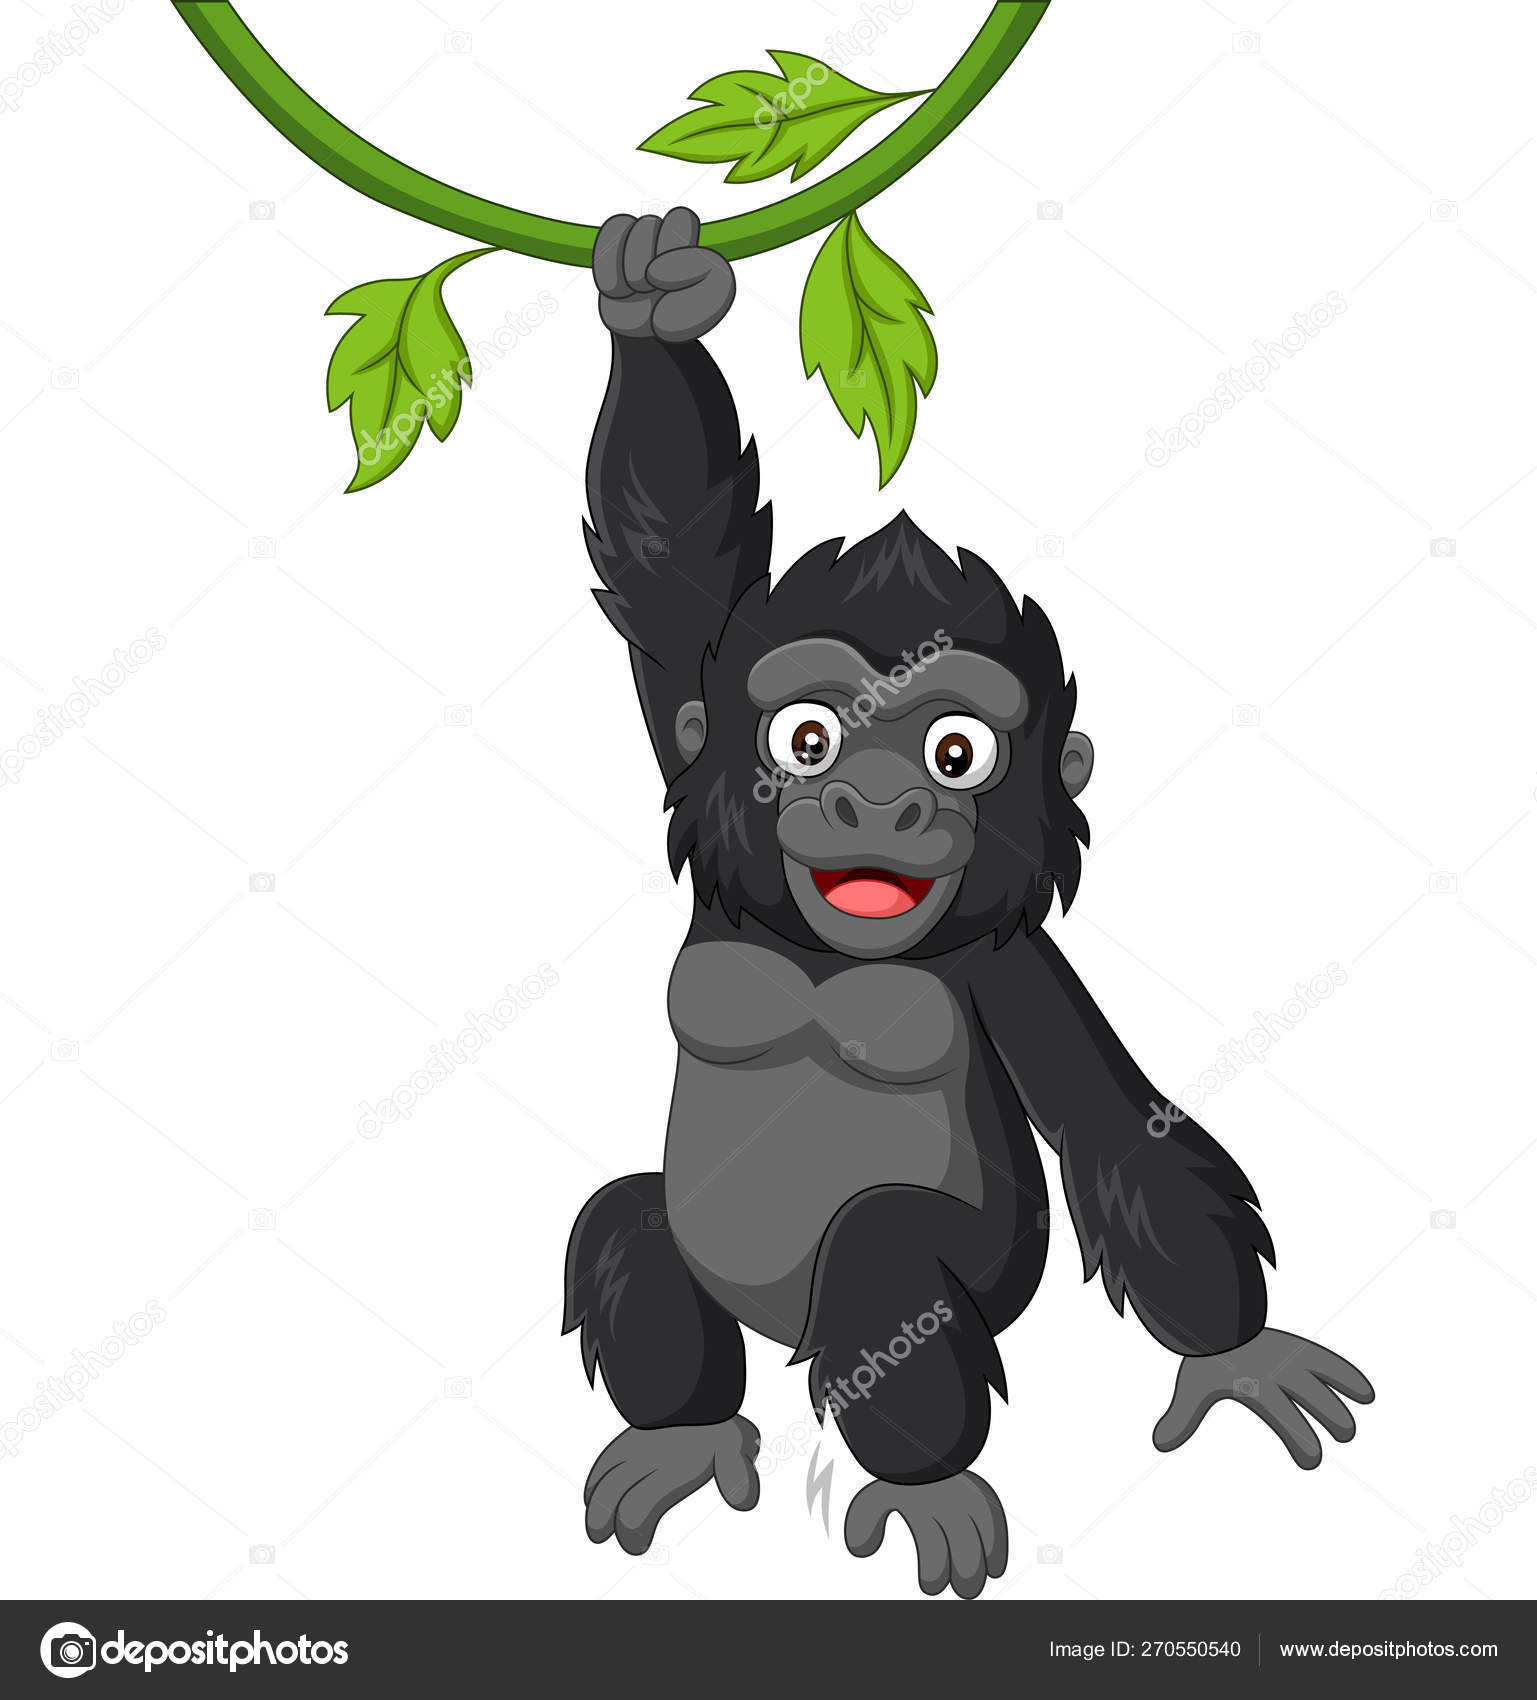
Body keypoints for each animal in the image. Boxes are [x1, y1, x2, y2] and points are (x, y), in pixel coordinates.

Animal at [561, 207, 1373, 1599]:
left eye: (954, 752)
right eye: (810, 735)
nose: (877, 803)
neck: (821, 956)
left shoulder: (1013, 964)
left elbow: (1112, 1126)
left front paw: (1233, 1354)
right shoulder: (698, 740)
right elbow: (672, 583)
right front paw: (659, 299)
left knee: (882, 1266)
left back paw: (923, 1480)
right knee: (627, 1219)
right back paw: (682, 1432)